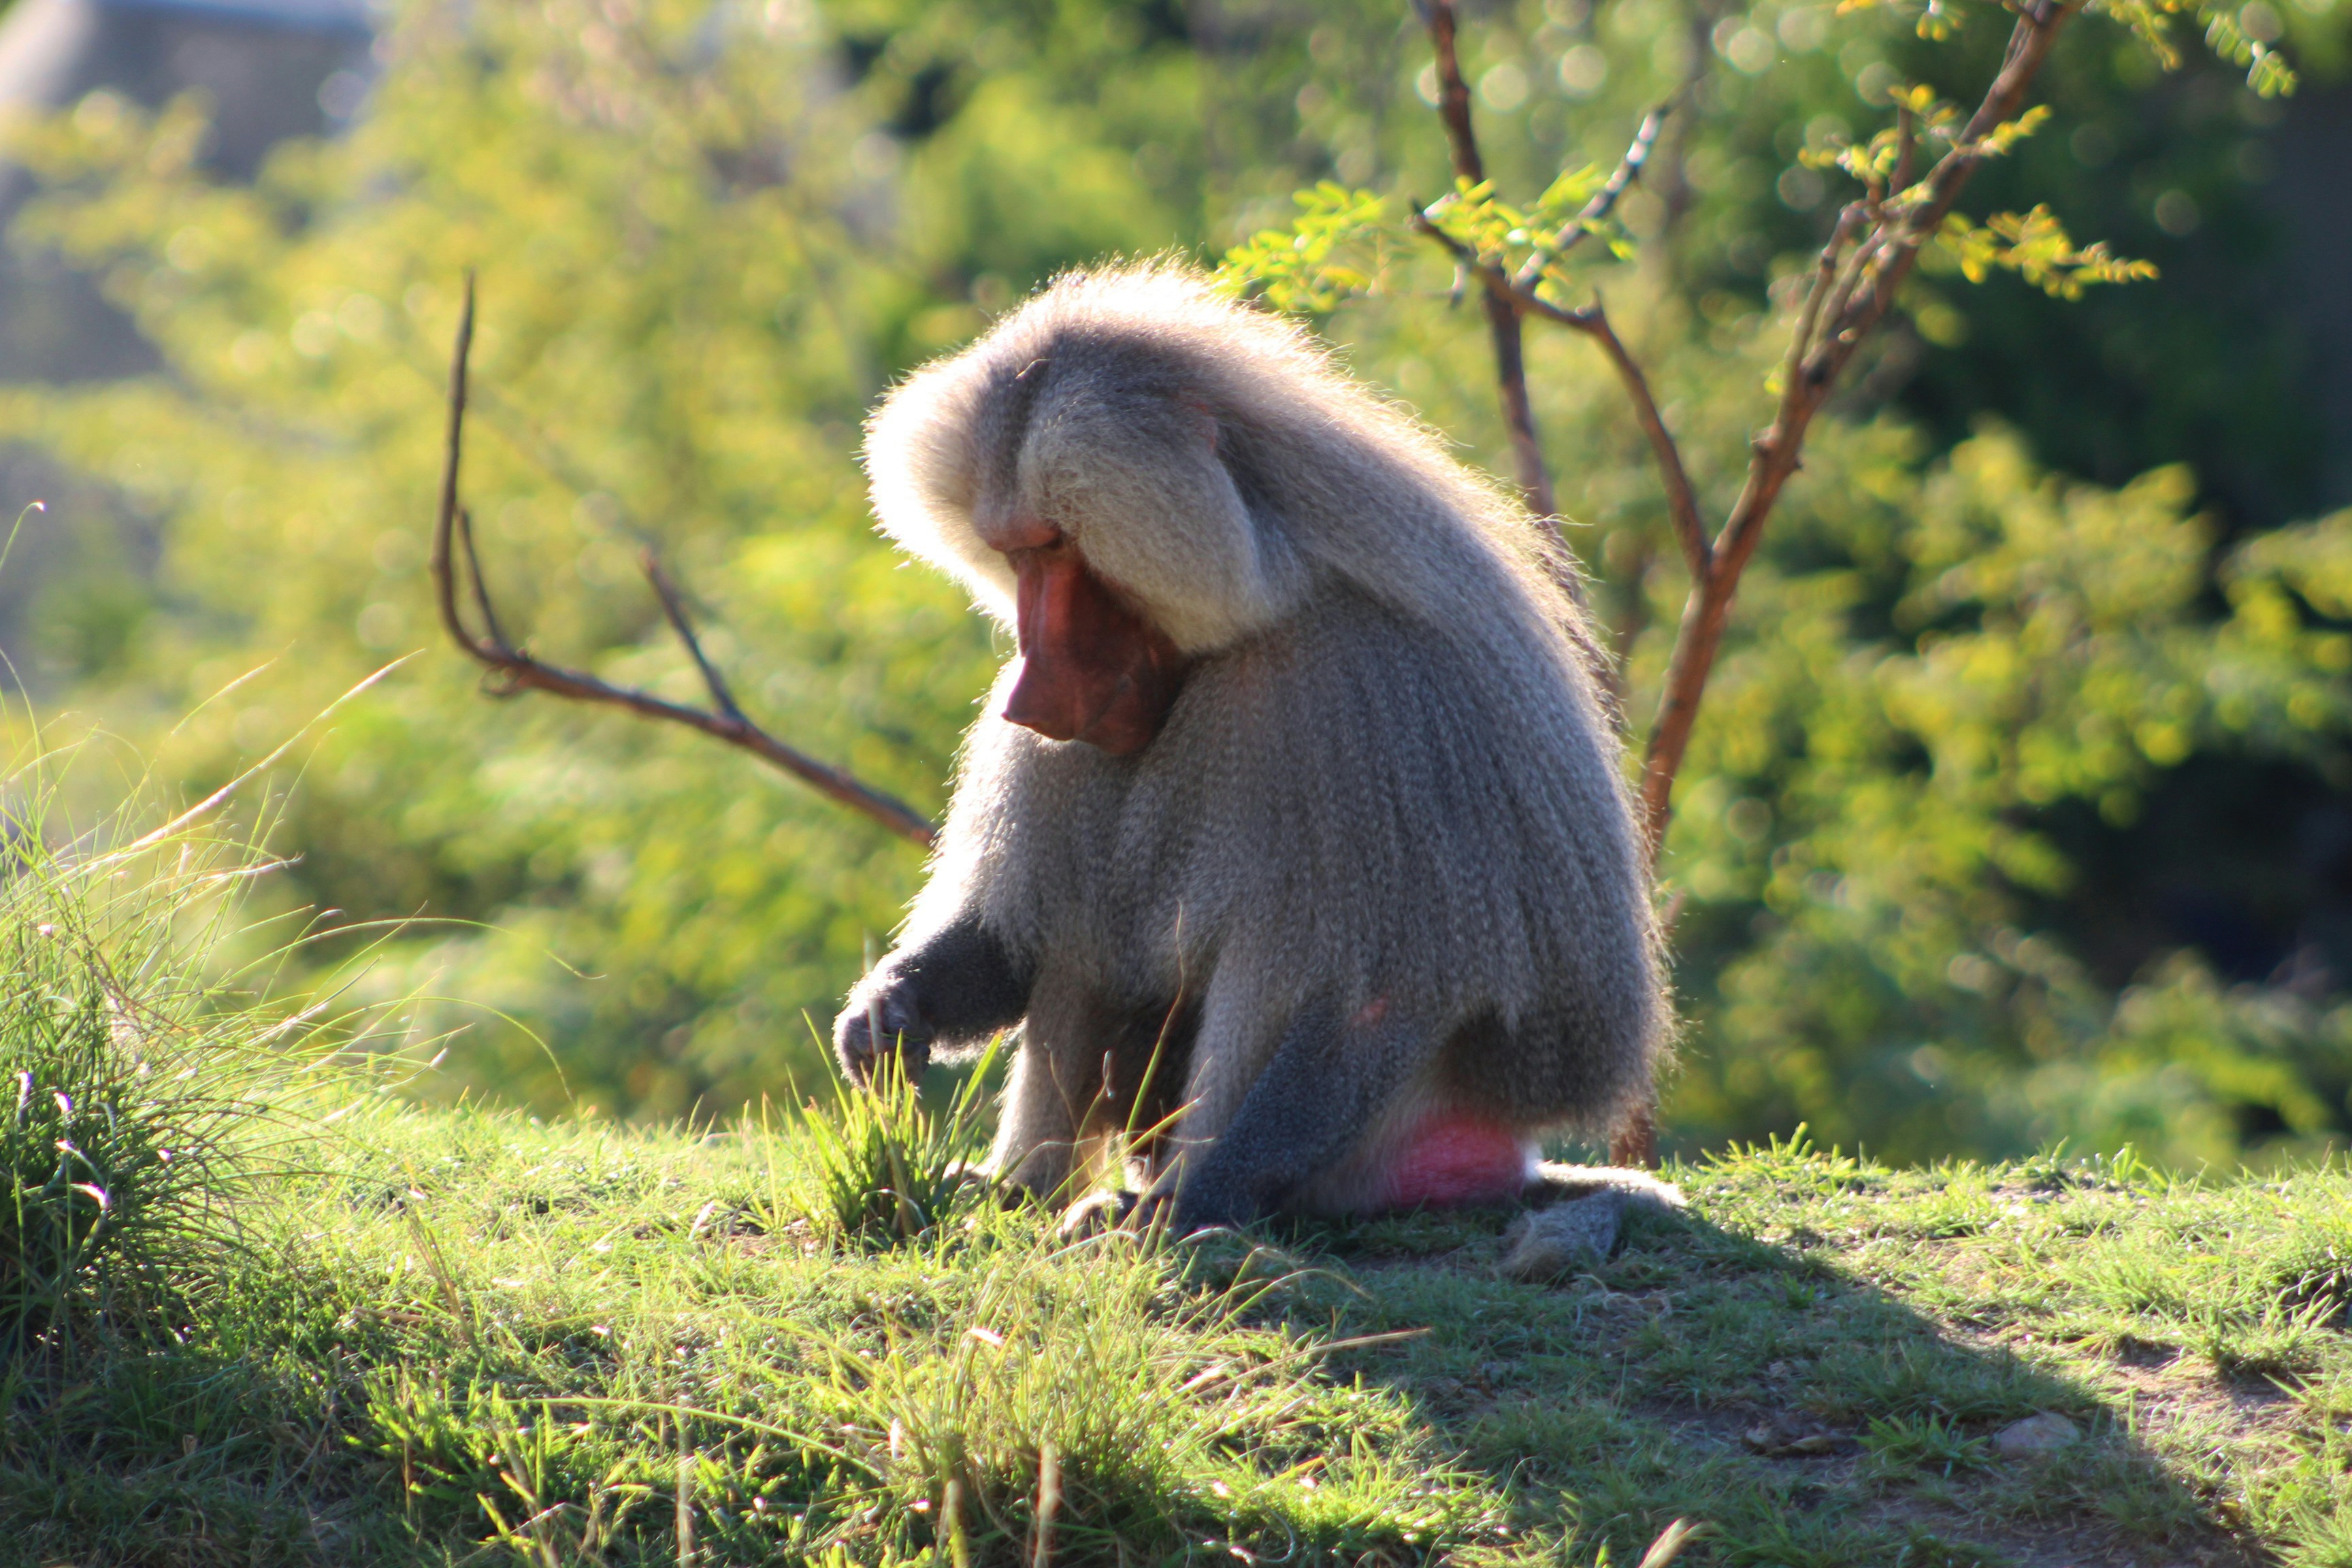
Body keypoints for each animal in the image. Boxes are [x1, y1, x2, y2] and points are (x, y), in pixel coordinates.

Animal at [832, 263, 1670, 1235]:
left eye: (1054, 545)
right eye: (1012, 554)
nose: (1022, 695)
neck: (1264, 605)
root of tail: (1513, 1153)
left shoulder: (1352, 694)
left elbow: (1379, 992)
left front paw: (1200, 1199)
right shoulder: (1064, 742)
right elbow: (1019, 942)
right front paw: (889, 1010)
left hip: (1378, 1139)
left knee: (1285, 950)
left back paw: (1159, 1205)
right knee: (1083, 927)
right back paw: (1020, 1192)